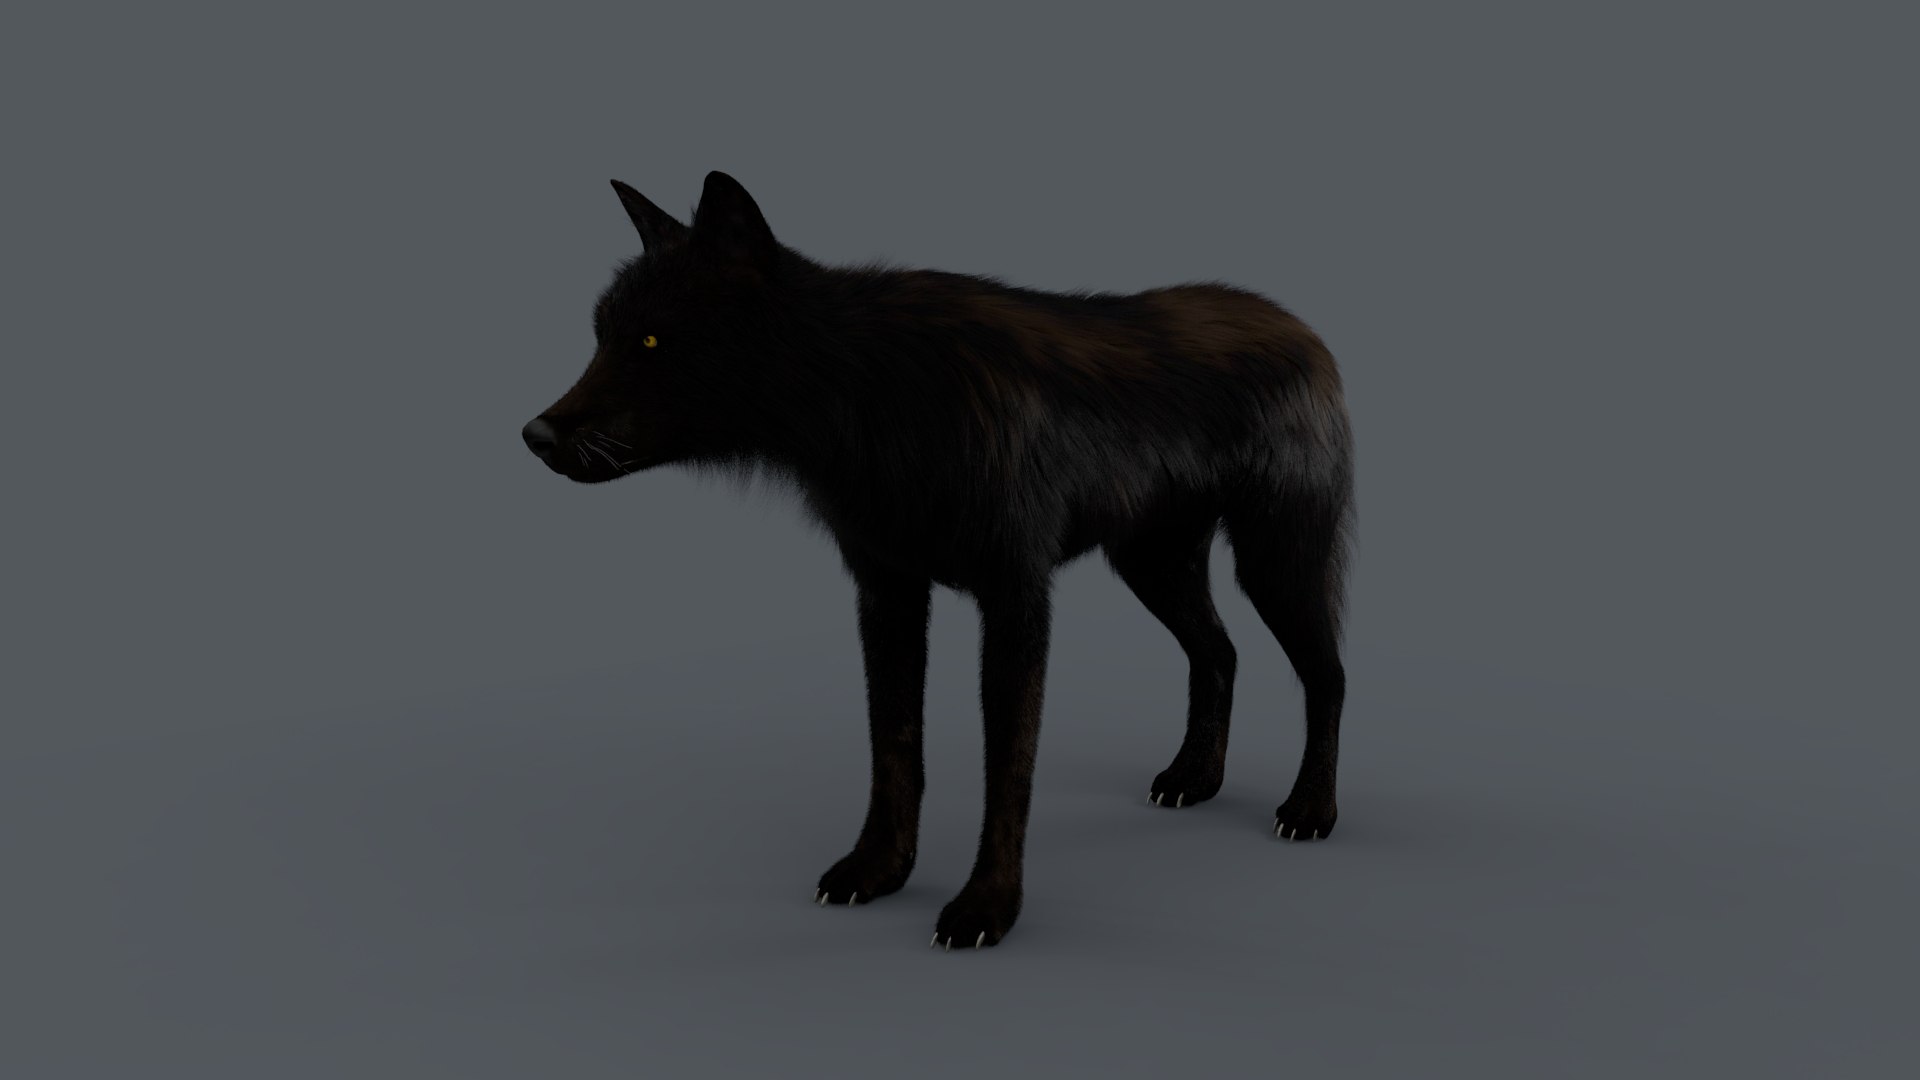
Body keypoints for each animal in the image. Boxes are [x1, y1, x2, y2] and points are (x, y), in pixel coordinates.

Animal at [522, 171, 1356, 950]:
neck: (869, 392)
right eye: (600, 335)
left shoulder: (1015, 600)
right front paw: (879, 870)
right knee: (1221, 653)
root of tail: (1304, 328)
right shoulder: (887, 593)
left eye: (650, 343)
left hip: (1273, 565)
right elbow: (894, 750)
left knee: (1328, 674)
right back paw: (1196, 779)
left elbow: (1006, 774)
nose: (534, 435)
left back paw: (1311, 810)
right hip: (1153, 567)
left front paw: (987, 907)